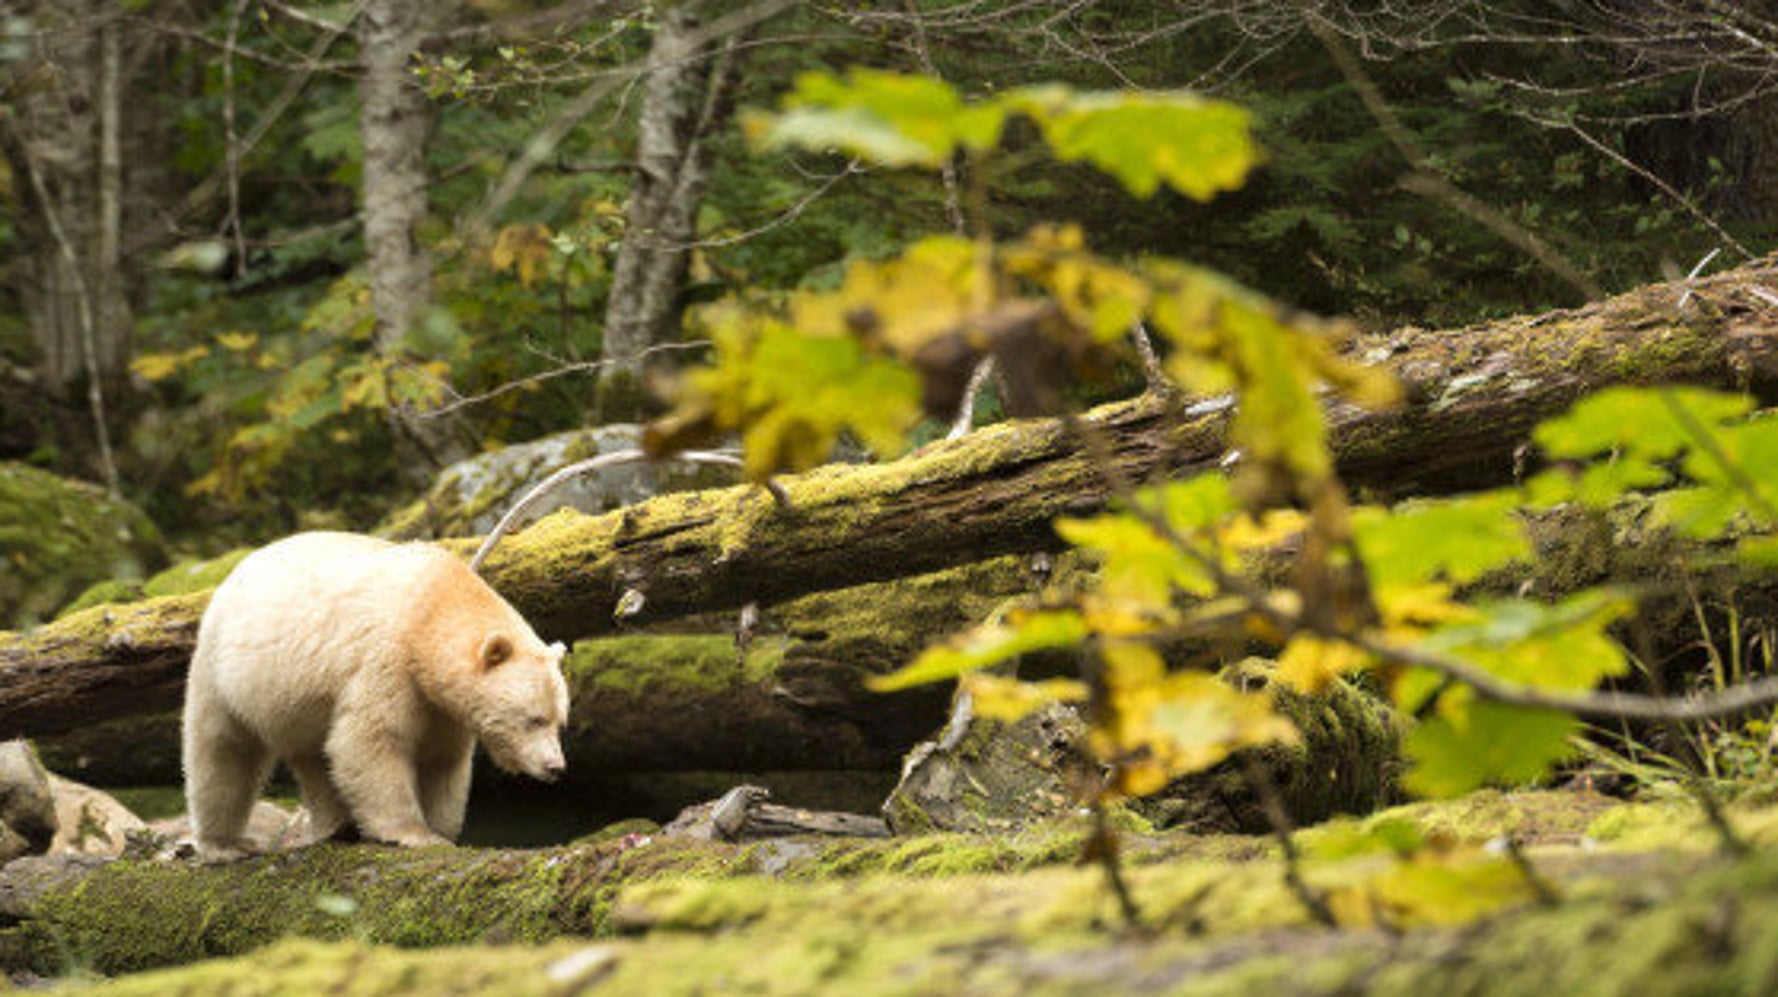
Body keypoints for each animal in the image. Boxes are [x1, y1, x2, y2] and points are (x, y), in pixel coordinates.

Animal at [182, 531, 569, 861]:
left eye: (559, 721)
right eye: (534, 719)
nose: (556, 767)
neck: (431, 609)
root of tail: (237, 570)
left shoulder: (441, 707)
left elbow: (441, 761)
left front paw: (441, 830)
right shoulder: (386, 661)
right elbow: (372, 739)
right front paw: (414, 833)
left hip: (298, 705)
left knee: (315, 760)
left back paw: (333, 825)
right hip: (225, 672)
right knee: (223, 751)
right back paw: (226, 843)